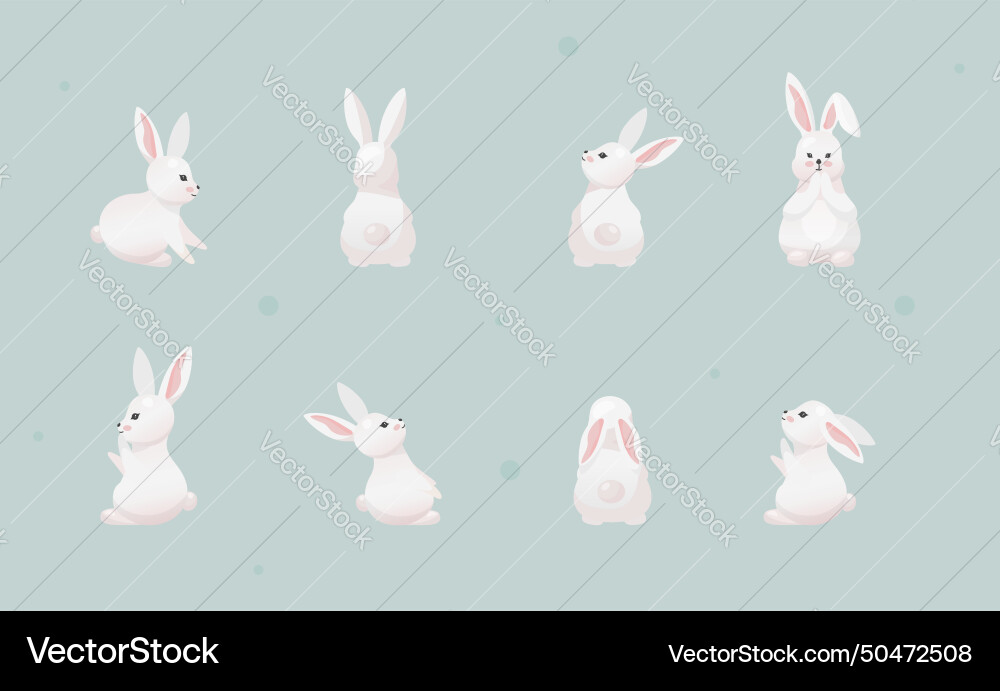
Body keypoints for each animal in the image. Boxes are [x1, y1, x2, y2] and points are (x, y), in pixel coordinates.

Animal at [90, 108, 206, 268]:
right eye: (183, 177)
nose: (197, 187)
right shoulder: (170, 231)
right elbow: (179, 246)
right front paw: (190, 260)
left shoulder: (179, 225)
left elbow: (190, 236)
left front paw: (203, 246)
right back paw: (164, 260)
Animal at [101, 347, 197, 525]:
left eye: (135, 416)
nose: (119, 425)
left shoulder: (134, 466)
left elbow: (126, 455)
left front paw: (120, 440)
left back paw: (109, 515)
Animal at [305, 383, 440, 526]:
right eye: (384, 424)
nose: (400, 419)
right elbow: (422, 485)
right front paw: (437, 493)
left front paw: (434, 484)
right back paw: (432, 516)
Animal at [779, 73, 861, 268]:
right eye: (809, 154)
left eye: (828, 154)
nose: (818, 162)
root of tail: (819, 257)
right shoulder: (795, 201)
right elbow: (791, 209)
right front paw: (818, 181)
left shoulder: (844, 200)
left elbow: (848, 210)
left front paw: (822, 181)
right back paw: (797, 259)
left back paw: (842, 259)